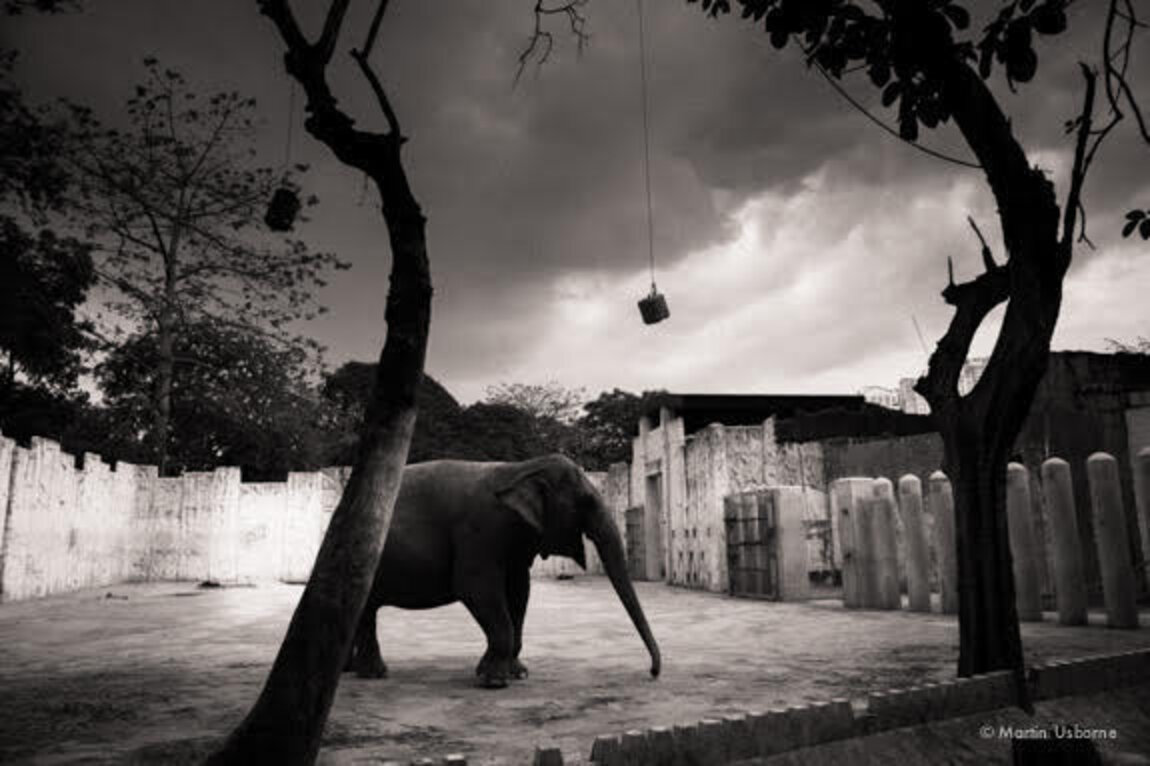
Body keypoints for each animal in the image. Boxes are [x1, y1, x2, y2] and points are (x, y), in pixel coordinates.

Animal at [343, 454, 662, 689]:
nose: (652, 672)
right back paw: (372, 674)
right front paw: (494, 681)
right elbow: (476, 587)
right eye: (586, 502)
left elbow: (518, 591)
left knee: (362, 611)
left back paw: (351, 671)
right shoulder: (480, 529)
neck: (521, 468)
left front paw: (516, 673)